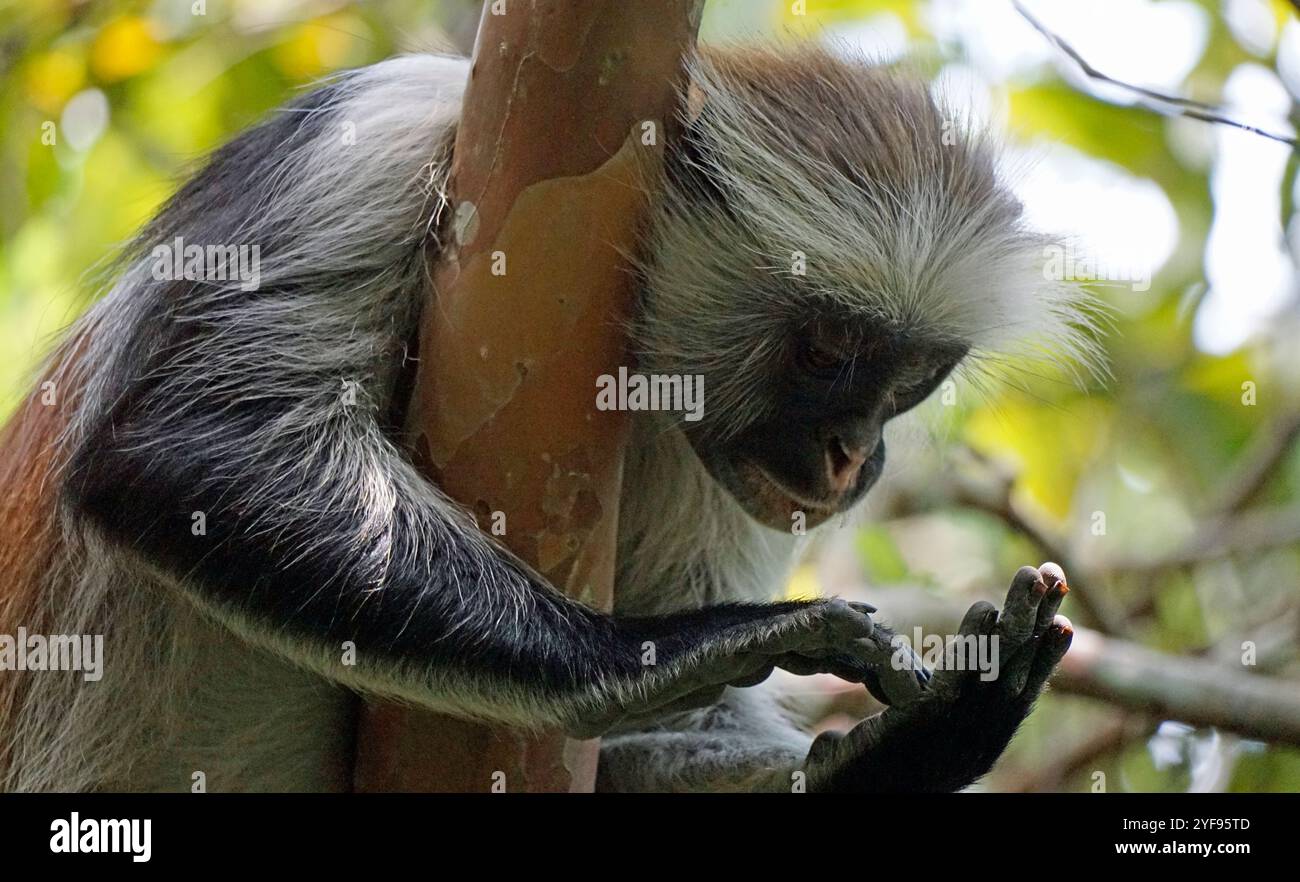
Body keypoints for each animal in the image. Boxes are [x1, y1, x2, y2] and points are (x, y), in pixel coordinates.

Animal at [0, 43, 1094, 792]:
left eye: (914, 380)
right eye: (826, 351)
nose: (850, 458)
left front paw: (925, 741)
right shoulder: (388, 130)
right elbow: (183, 441)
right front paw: (659, 652)